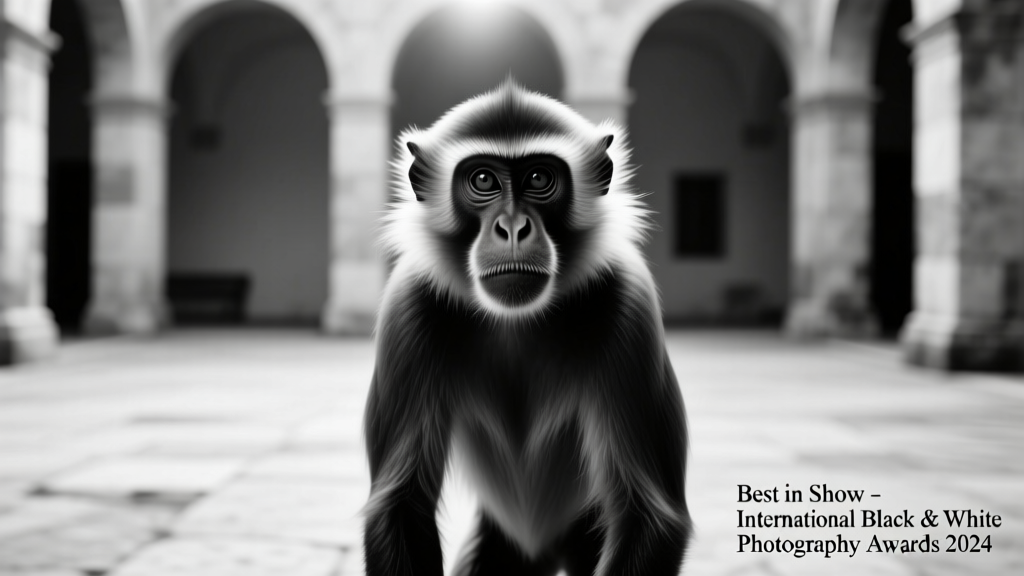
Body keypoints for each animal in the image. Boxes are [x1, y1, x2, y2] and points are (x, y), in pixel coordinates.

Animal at [363, 80, 691, 576]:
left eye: (539, 179)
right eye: (483, 180)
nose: (513, 227)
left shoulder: (629, 301)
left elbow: (650, 517)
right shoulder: (409, 303)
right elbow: (400, 505)